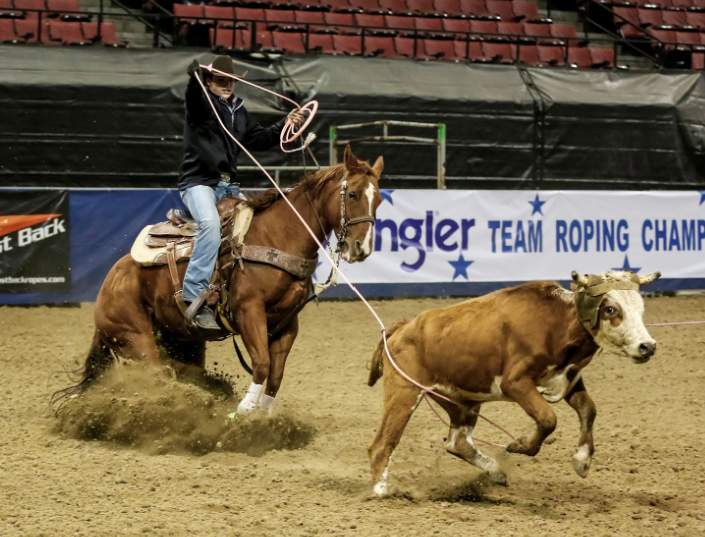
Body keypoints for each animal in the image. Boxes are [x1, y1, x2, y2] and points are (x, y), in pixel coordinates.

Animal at [55, 145, 384, 415]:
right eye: (353, 194)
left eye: (379, 199)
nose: (362, 248)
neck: (278, 236)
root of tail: (111, 279)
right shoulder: (248, 311)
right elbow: (262, 364)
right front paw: (243, 412)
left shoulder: (287, 322)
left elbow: (276, 374)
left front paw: (264, 417)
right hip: (135, 337)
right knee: (158, 375)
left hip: (183, 341)